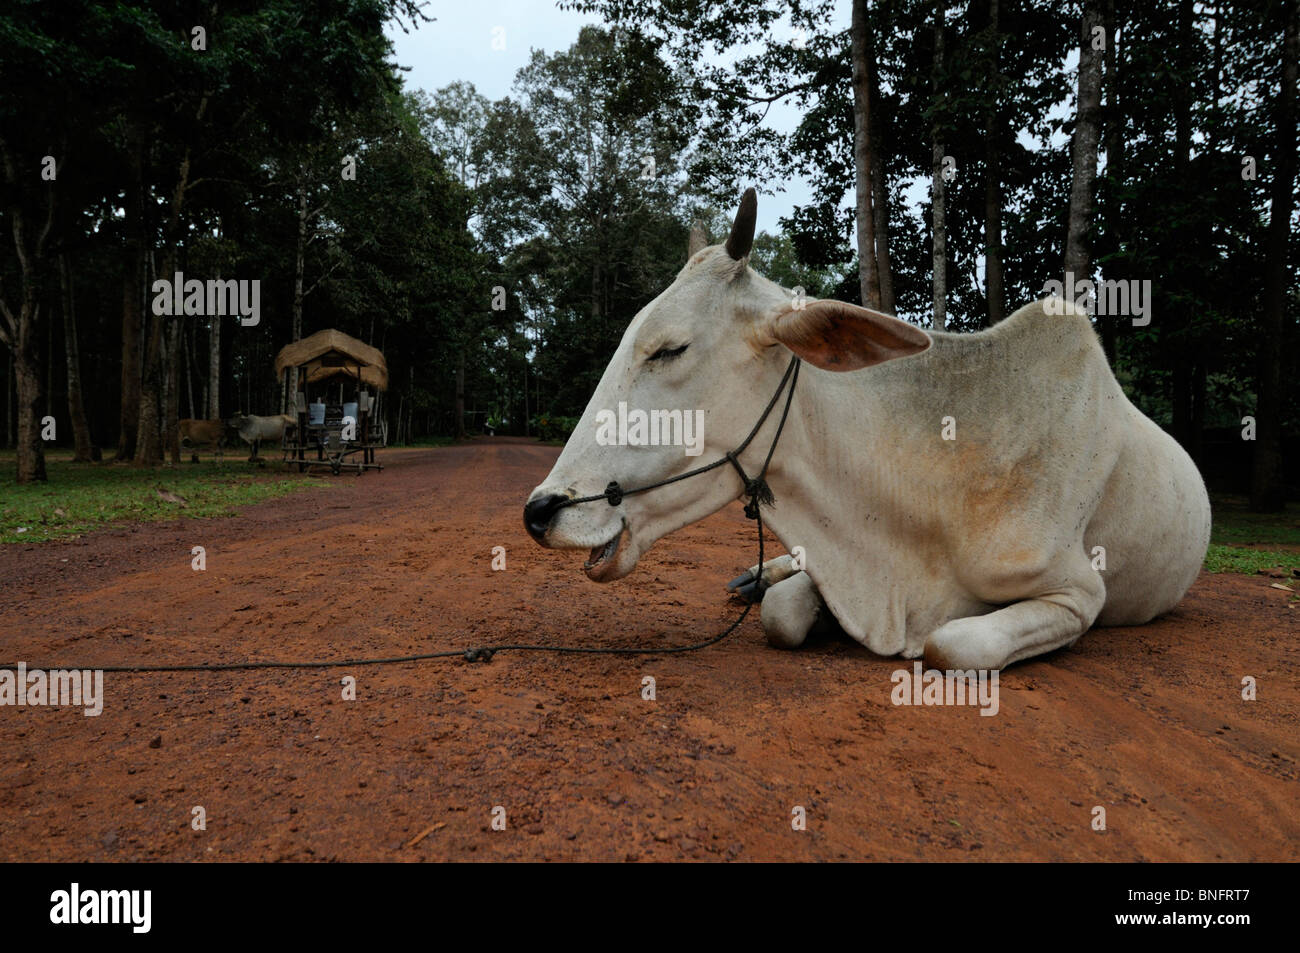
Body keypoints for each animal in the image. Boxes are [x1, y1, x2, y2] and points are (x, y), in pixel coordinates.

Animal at [523, 188, 1211, 671]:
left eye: (670, 349)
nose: (541, 510)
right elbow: (783, 612)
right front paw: (781, 591)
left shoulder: (1079, 591)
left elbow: (950, 645)